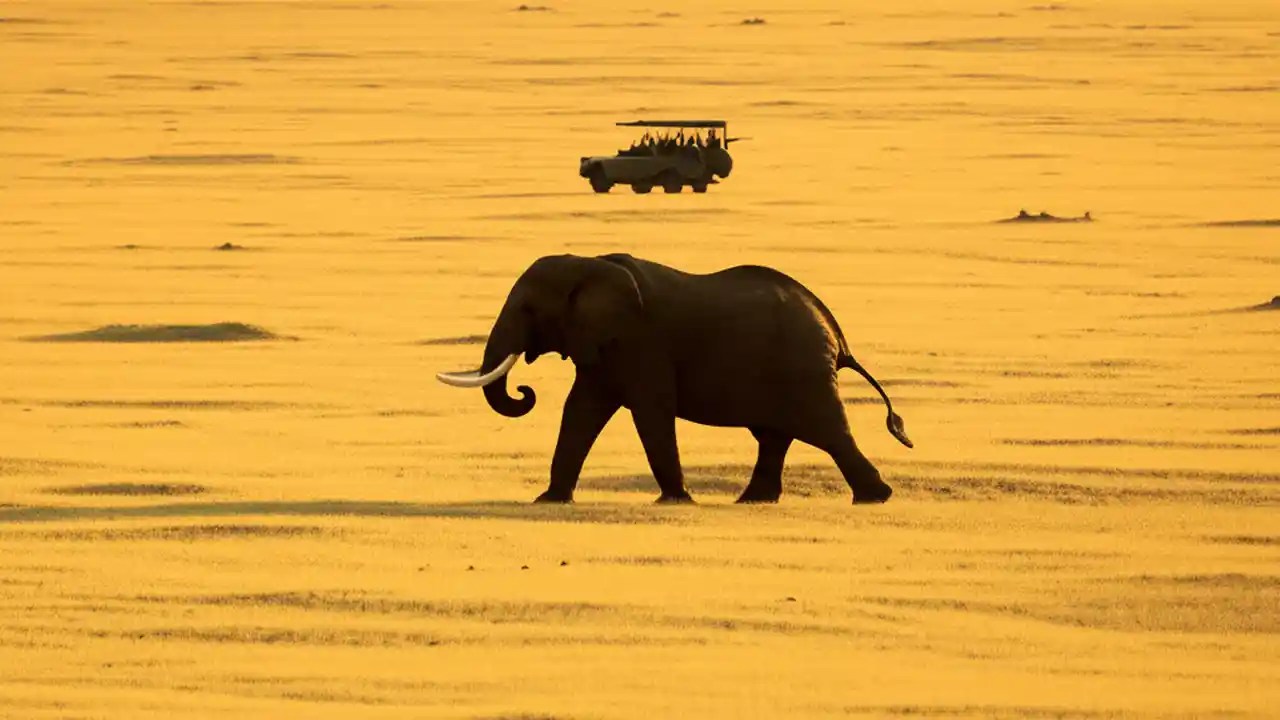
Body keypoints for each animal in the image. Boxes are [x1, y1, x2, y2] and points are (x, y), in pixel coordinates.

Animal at [437, 253, 912, 504]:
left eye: (529, 310)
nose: (525, 390)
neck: (590, 264)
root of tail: (837, 333)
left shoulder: (642, 341)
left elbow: (650, 412)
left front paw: (676, 500)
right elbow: (581, 411)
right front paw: (550, 501)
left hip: (802, 367)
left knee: (828, 431)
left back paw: (877, 497)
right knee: (776, 436)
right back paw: (753, 500)